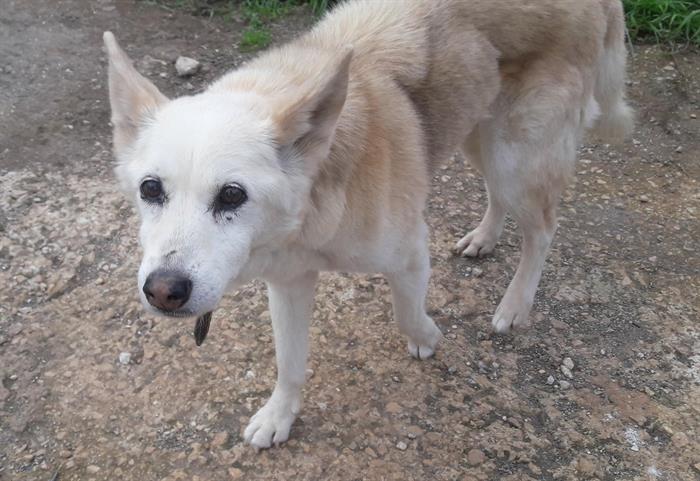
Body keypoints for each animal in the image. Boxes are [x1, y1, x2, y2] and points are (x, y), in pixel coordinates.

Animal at [105, 0, 636, 448]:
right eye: (150, 189)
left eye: (232, 194)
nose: (164, 291)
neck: (313, 210)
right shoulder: (289, 283)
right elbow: (289, 362)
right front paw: (279, 416)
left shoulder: (410, 253)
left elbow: (406, 313)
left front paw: (427, 339)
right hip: (479, 135)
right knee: (499, 198)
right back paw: (484, 238)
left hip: (516, 157)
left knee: (542, 228)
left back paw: (515, 304)